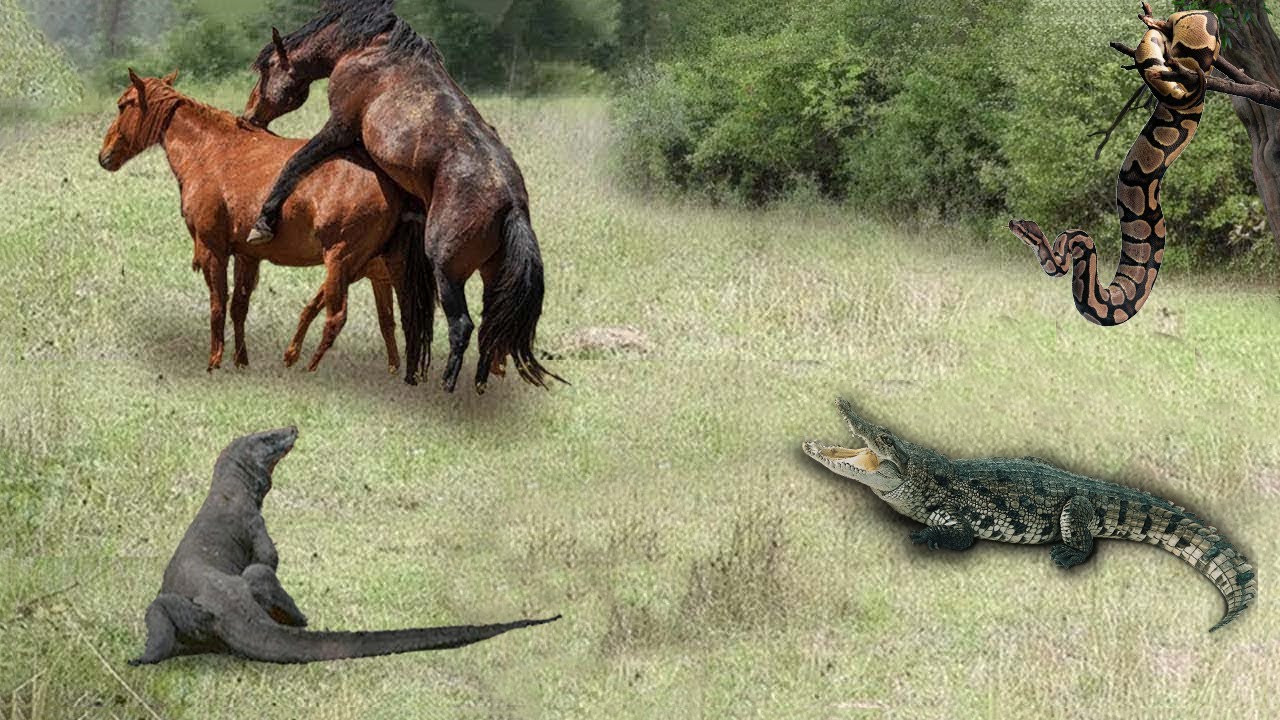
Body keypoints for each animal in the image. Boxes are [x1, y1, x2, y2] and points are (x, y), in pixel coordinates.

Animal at [98, 70, 432, 375]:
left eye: (122, 105)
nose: (104, 156)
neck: (211, 151)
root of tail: (392, 183)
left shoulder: (213, 251)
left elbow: (218, 306)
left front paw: (214, 362)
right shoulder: (247, 256)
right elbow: (239, 308)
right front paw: (240, 361)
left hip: (341, 261)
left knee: (336, 318)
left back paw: (306, 367)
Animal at [240, 0, 564, 394]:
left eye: (267, 68)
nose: (250, 115)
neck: (369, 48)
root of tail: (511, 206)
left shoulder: (340, 126)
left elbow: (295, 162)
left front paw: (264, 222)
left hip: (446, 269)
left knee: (462, 325)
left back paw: (445, 386)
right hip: (491, 276)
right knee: (489, 329)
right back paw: (478, 386)